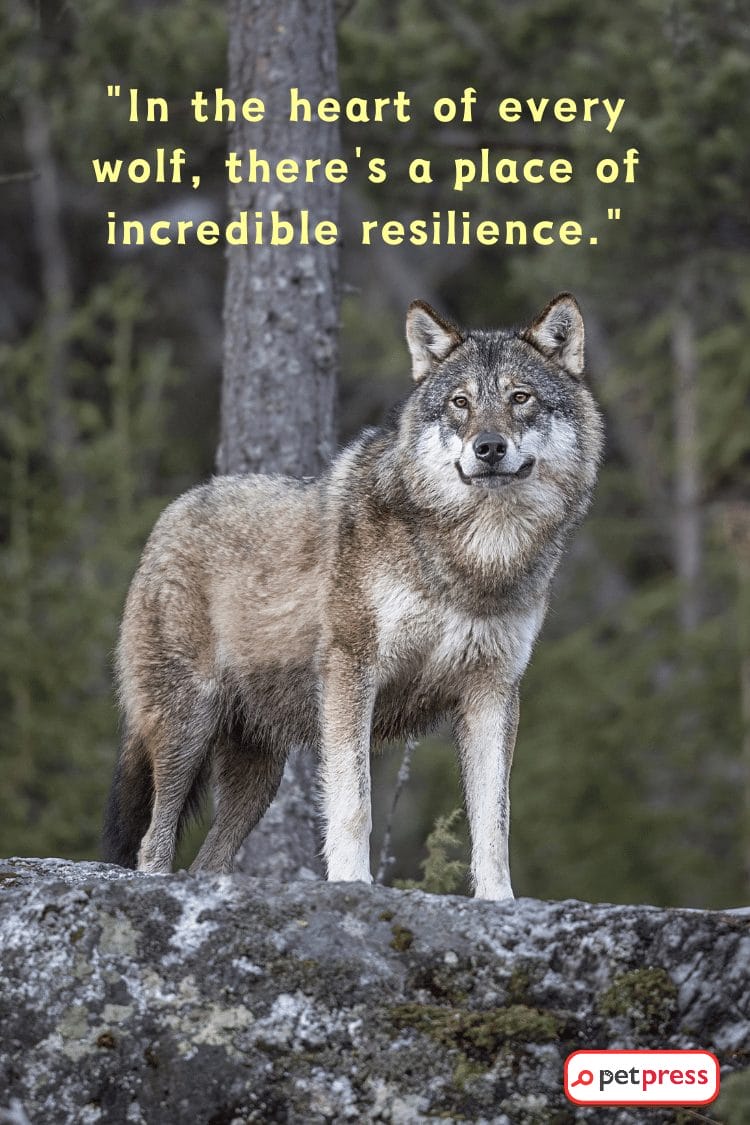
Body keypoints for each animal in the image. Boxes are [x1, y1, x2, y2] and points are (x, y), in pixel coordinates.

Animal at [102, 293, 603, 899]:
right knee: (153, 842)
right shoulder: (351, 672)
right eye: (460, 403)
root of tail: (170, 515)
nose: (488, 447)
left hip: (258, 776)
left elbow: (494, 821)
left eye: (520, 398)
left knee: (207, 860)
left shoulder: (493, 691)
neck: (473, 563)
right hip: (187, 726)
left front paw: (499, 901)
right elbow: (354, 802)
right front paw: (352, 884)